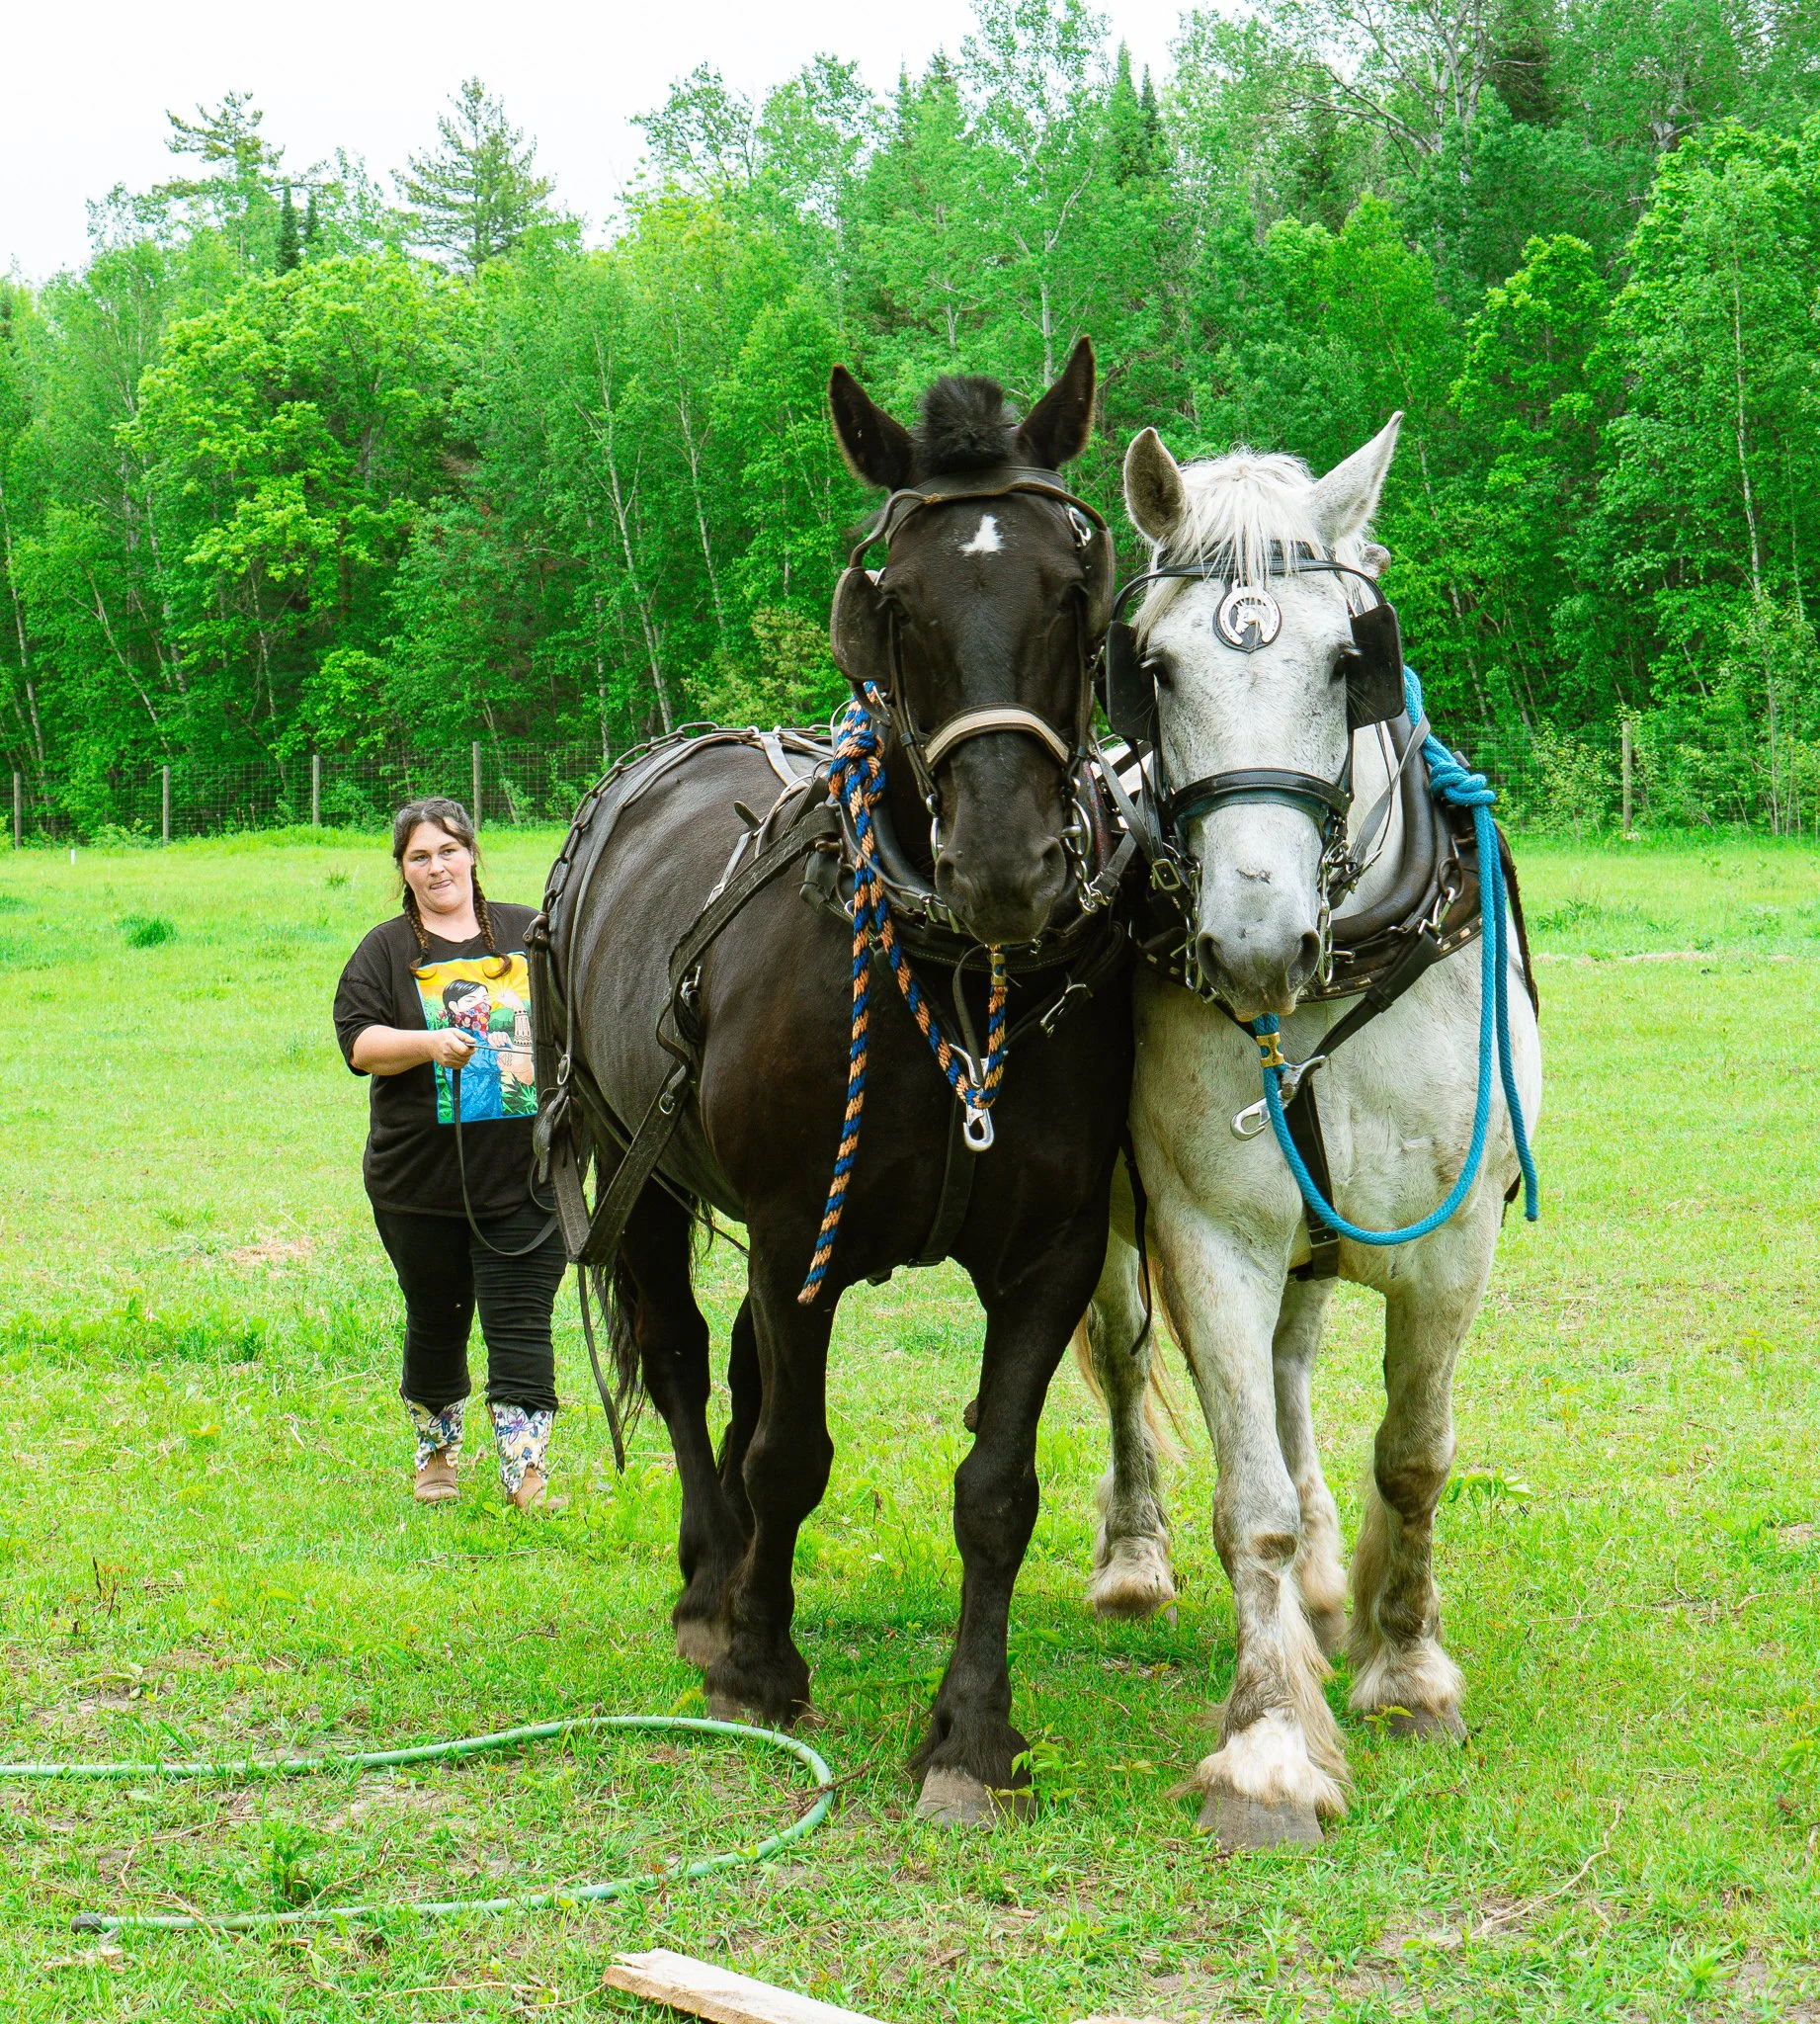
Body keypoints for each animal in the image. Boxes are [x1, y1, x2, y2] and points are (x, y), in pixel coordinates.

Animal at [538, 341, 1136, 1823]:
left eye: (1074, 582)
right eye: (891, 600)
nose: (1002, 862)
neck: (957, 977)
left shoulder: (1051, 1249)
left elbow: (996, 1486)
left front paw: (971, 1733)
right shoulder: (792, 1238)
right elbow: (789, 1449)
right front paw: (758, 1662)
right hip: (636, 1166)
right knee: (688, 1367)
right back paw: (713, 1582)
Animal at [1077, 415, 1543, 1850]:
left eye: (1350, 659)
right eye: (1153, 669)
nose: (1251, 942)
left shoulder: (1451, 1241)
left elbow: (1414, 1456)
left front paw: (1407, 1666)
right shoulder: (1210, 1233)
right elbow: (1251, 1502)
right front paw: (1270, 1744)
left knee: (1290, 1375)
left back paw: (1342, 1584)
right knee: (1126, 1365)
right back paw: (1133, 1558)